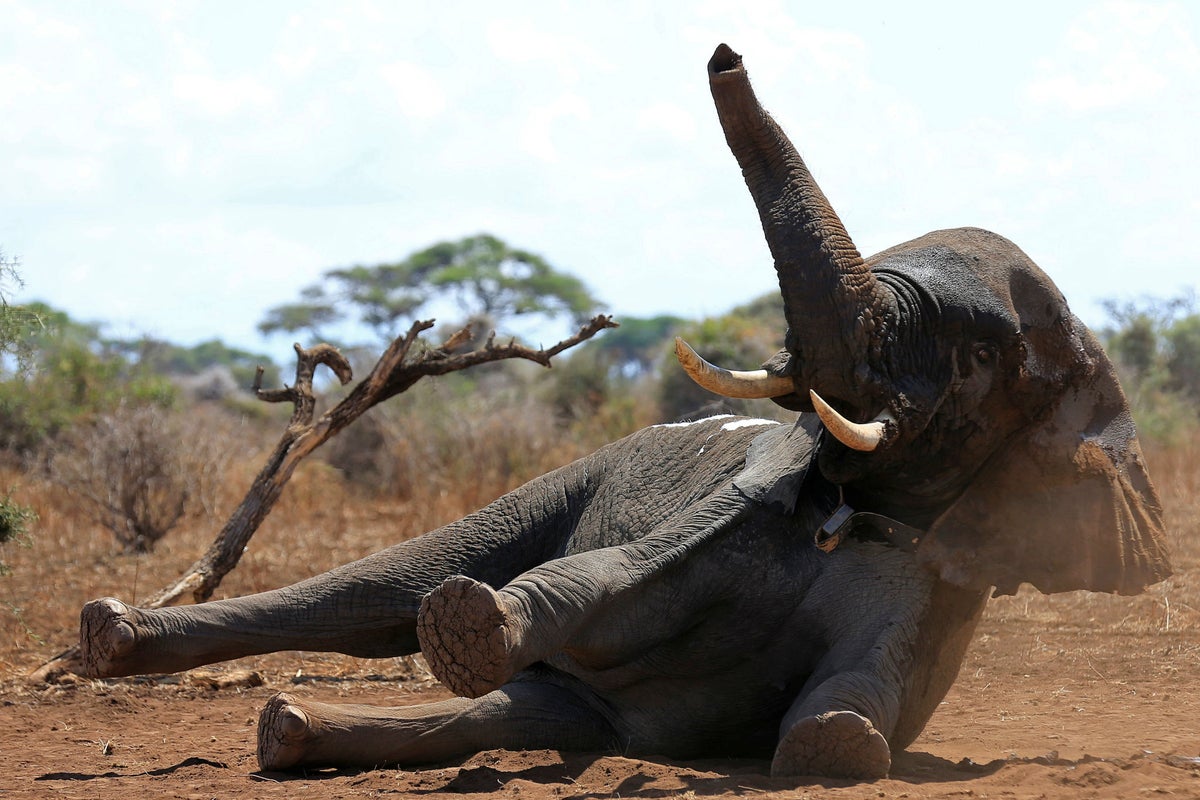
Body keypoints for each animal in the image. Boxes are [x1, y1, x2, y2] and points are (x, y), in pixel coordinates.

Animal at [76, 44, 1170, 780]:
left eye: (979, 355)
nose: (726, 52)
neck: (856, 502)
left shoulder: (937, 575)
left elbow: (846, 721)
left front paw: (829, 734)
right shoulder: (745, 496)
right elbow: (600, 577)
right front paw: (472, 620)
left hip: (577, 711)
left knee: (505, 714)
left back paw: (292, 728)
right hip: (578, 472)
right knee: (380, 593)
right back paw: (113, 635)